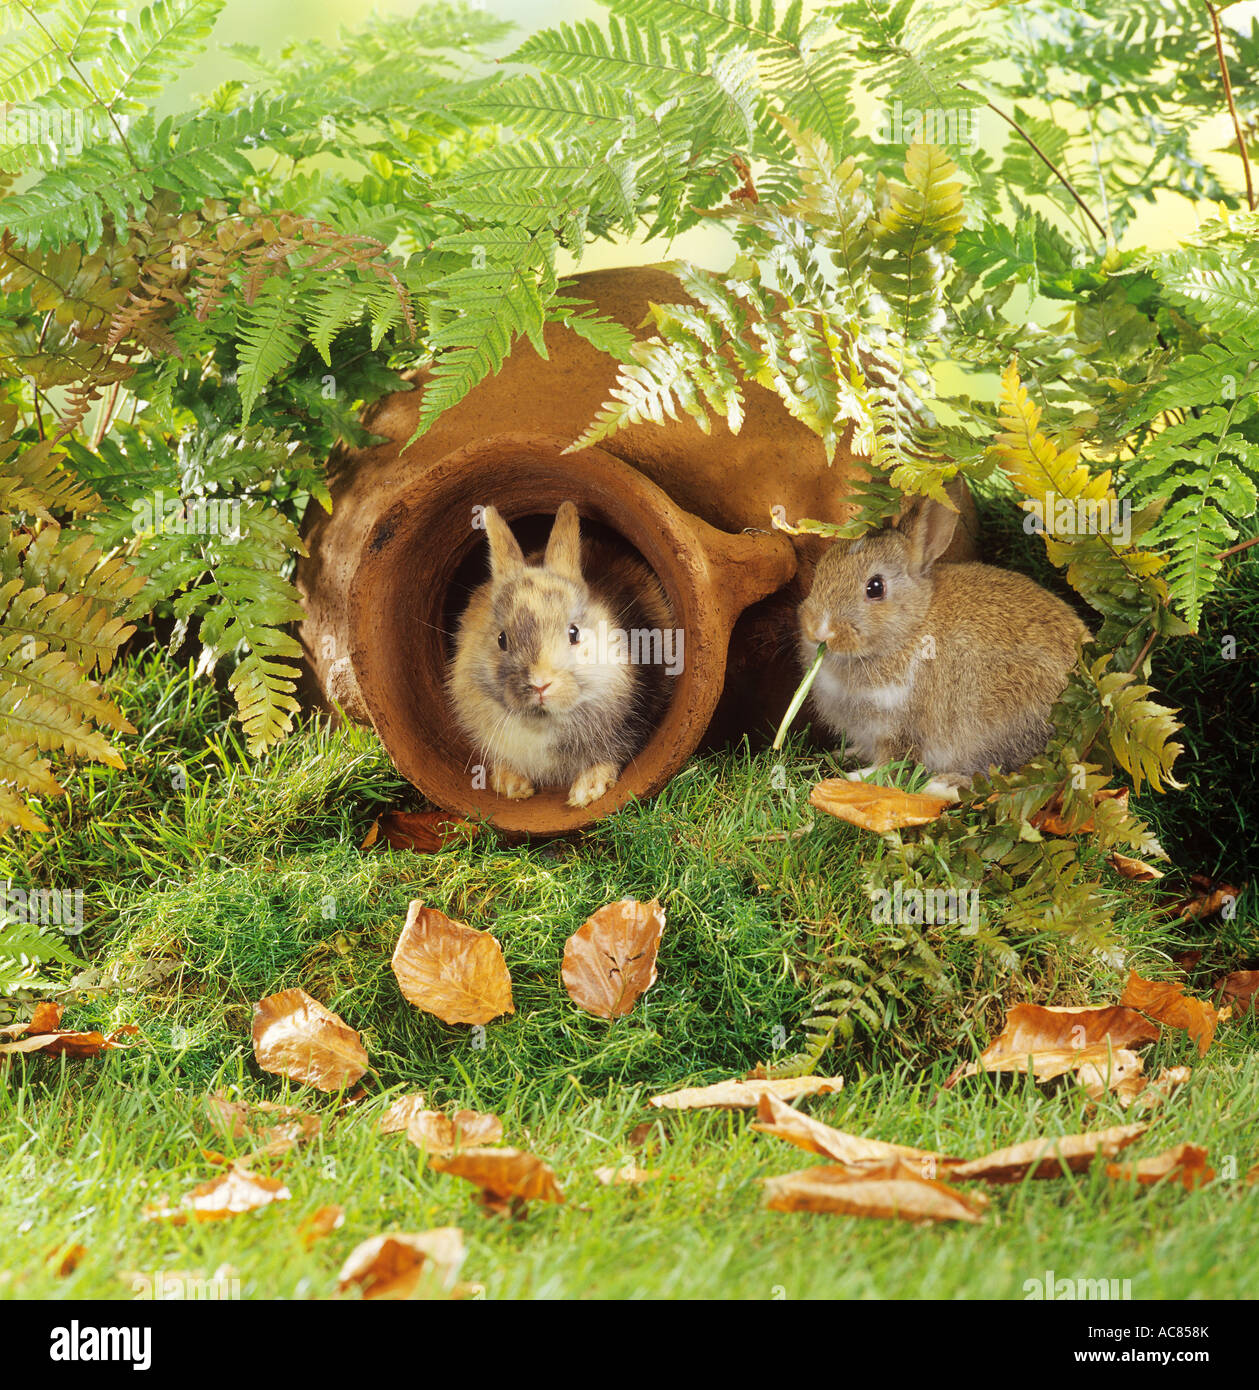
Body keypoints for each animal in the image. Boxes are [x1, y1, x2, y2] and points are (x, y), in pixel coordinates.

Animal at [448, 500, 672, 808]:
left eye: (574, 633)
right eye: (502, 639)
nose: (541, 684)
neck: (544, 722)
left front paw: (586, 791)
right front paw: (511, 785)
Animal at [796, 496, 1090, 799]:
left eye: (875, 587)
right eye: (820, 572)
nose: (818, 630)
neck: (912, 627)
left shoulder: (900, 730)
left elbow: (892, 763)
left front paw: (855, 777)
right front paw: (846, 755)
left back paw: (941, 786)